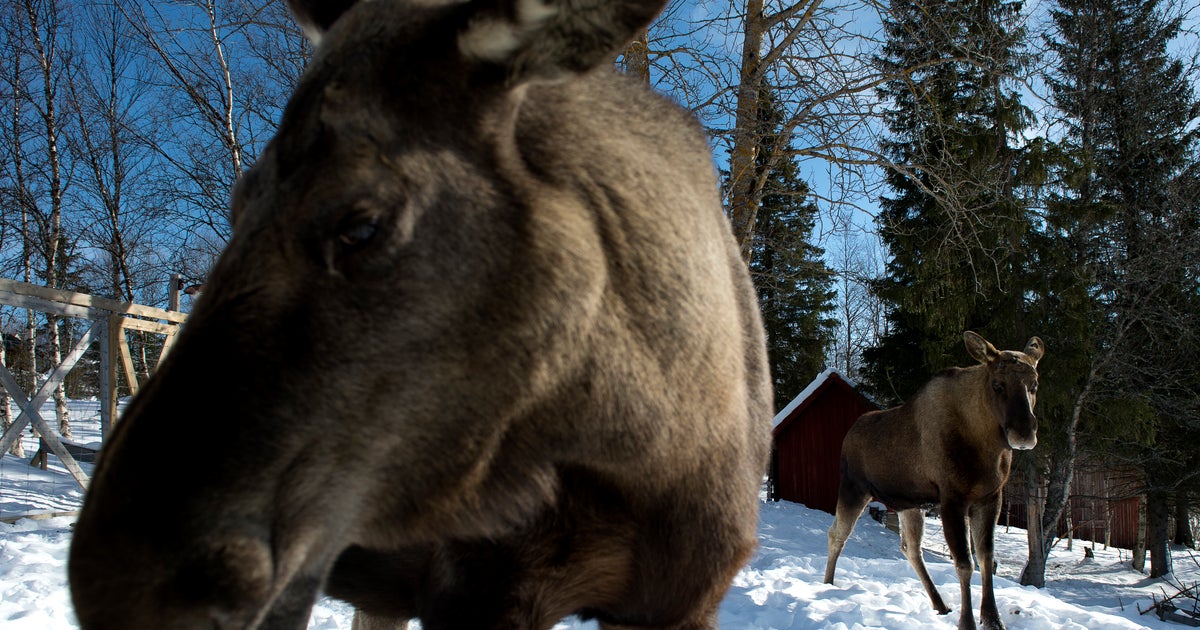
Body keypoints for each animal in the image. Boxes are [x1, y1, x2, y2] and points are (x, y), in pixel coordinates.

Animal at [67, 0, 773, 628]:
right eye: (240, 202)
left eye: (362, 225)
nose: (121, 581)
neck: (653, 448)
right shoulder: (474, 590)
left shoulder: (680, 602)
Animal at [823, 331, 1043, 630]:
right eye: (997, 384)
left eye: (1034, 383)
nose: (1024, 433)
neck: (987, 447)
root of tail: (848, 435)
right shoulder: (953, 498)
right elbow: (964, 564)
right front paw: (968, 622)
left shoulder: (990, 498)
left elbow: (986, 558)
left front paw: (993, 620)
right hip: (853, 489)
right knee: (837, 534)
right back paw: (826, 584)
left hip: (909, 504)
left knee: (910, 548)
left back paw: (939, 603)